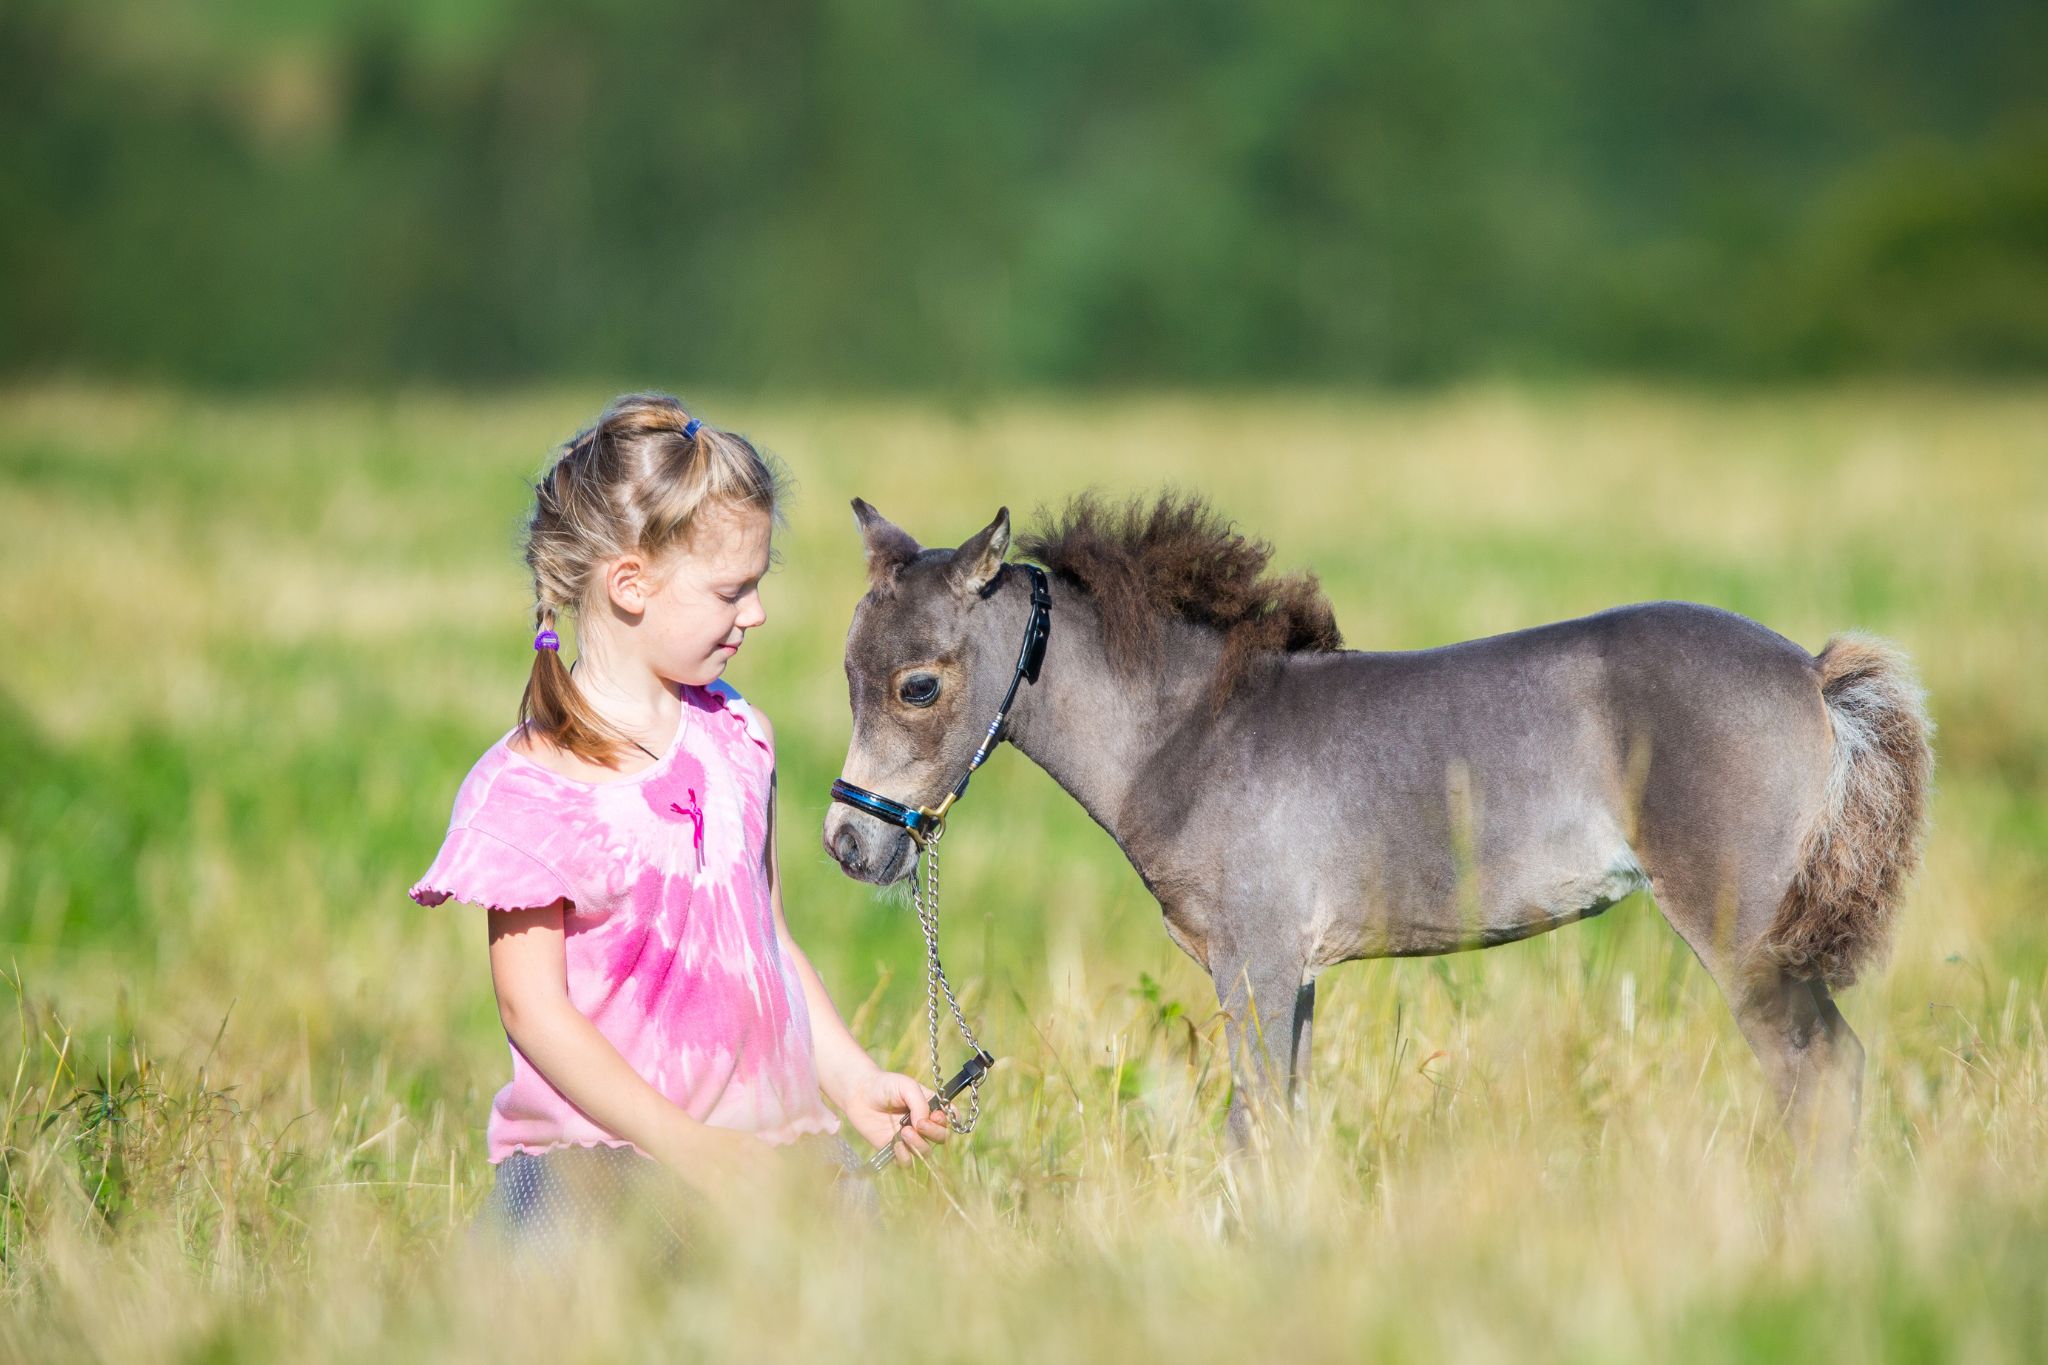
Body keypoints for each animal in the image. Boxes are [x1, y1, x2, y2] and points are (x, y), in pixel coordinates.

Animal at [822, 492, 1932, 1159]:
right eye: (846, 672)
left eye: (918, 686)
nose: (849, 845)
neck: (1196, 732)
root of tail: (1810, 672)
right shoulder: (1296, 977)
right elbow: (1288, 1122)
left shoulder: (1256, 962)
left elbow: (1252, 1125)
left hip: (1744, 933)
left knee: (1818, 1072)